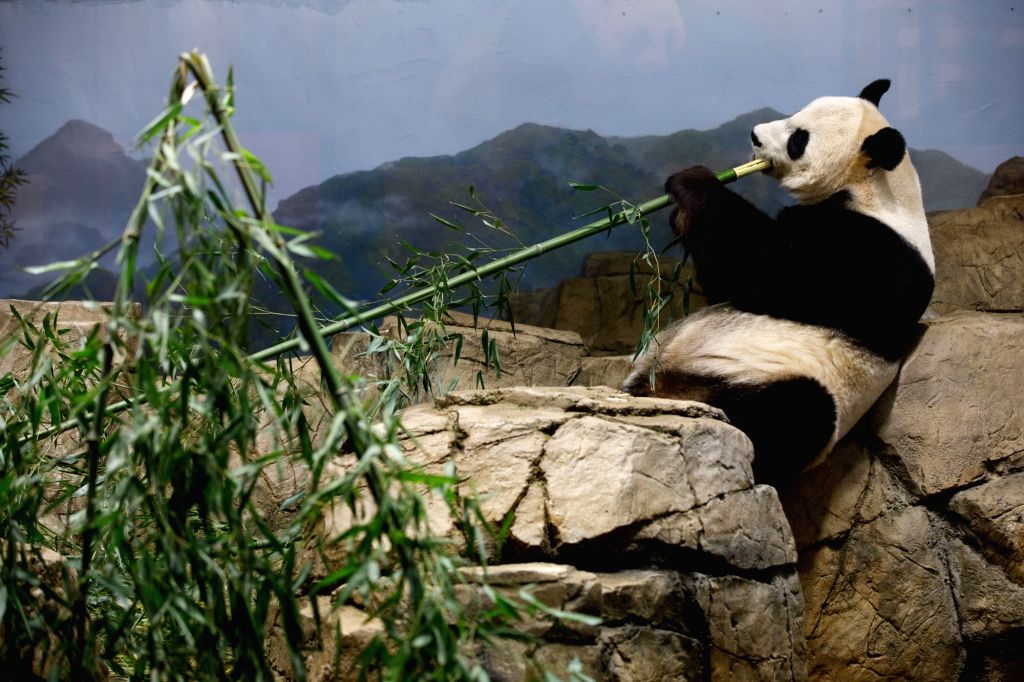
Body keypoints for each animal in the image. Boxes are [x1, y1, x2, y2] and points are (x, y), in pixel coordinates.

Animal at [622, 80, 934, 488]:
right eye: (794, 113)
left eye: (798, 139)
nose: (755, 136)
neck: (878, 189)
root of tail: (671, 388)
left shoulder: (876, 259)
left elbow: (767, 271)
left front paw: (693, 181)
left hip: (788, 387)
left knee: (795, 416)